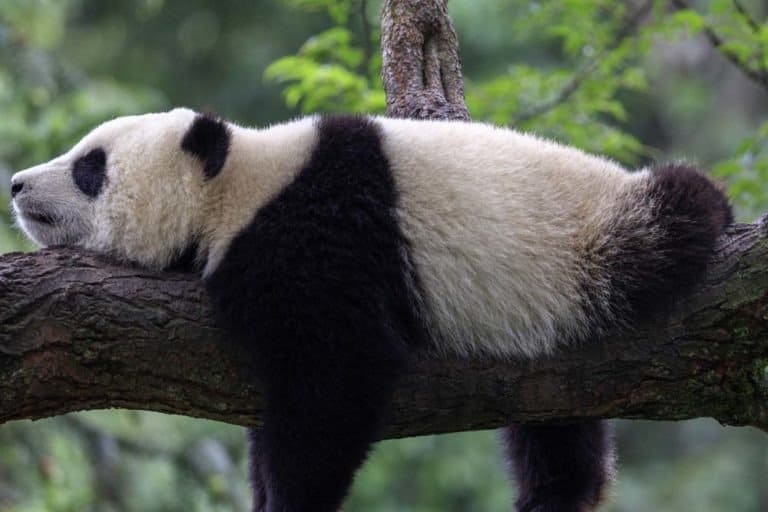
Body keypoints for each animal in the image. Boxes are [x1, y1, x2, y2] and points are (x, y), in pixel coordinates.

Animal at [10, 108, 732, 512]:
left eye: (90, 167)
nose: (15, 183)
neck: (238, 184)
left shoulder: (318, 235)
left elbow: (337, 375)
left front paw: (290, 499)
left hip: (594, 241)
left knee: (675, 214)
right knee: (556, 423)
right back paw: (557, 495)